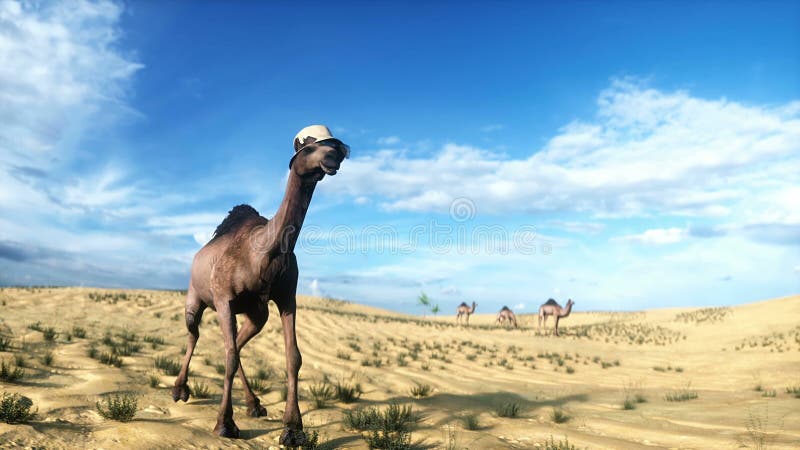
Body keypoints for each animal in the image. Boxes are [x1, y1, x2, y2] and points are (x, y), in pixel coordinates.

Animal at [171, 125, 349, 445]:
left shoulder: (287, 297)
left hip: (257, 314)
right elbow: (229, 357)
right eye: (308, 147)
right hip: (197, 297)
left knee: (237, 344)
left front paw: (293, 429)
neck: (264, 252)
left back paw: (254, 404)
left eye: (334, 144)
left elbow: (293, 357)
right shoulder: (224, 299)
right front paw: (225, 424)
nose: (334, 156)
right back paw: (180, 389)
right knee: (195, 334)